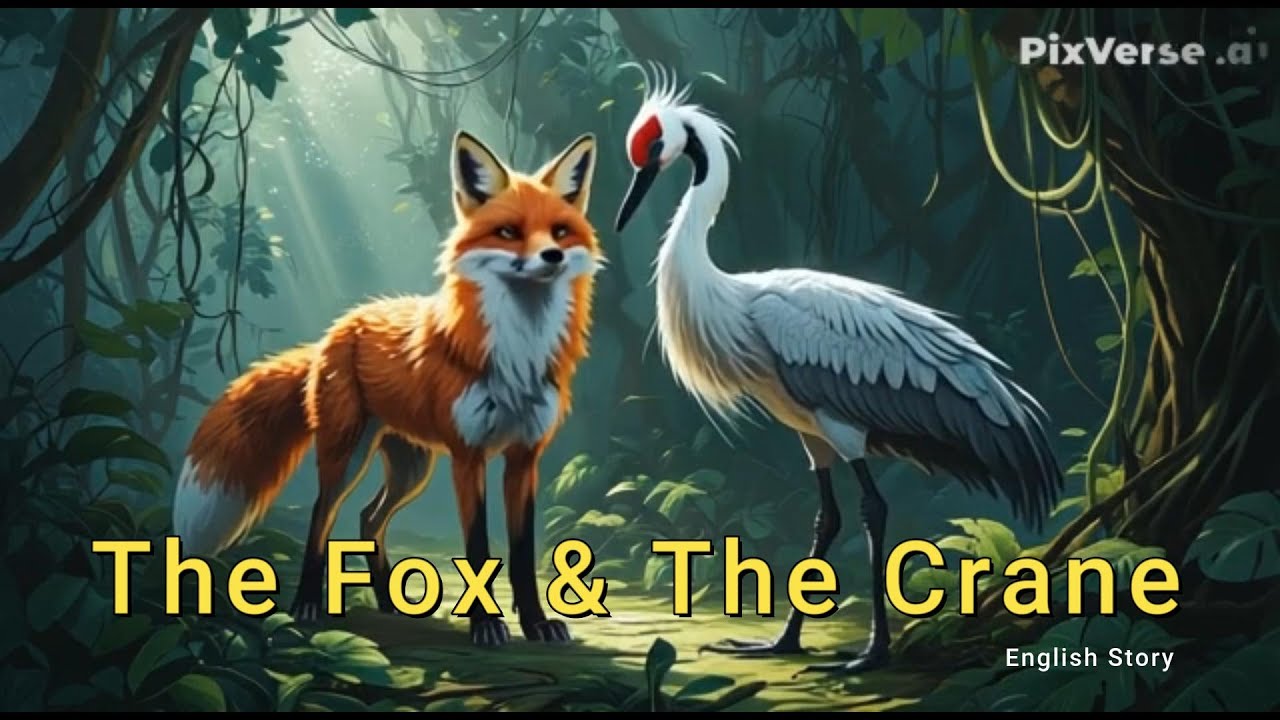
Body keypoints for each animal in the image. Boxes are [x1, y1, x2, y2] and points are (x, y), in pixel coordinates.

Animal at [172, 130, 602, 647]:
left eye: (560, 232)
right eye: (508, 232)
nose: (552, 257)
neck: (517, 350)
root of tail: (337, 328)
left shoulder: (524, 457)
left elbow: (520, 553)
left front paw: (537, 623)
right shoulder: (468, 456)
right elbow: (478, 547)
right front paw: (485, 625)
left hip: (411, 468)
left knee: (368, 518)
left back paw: (388, 602)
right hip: (347, 453)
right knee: (322, 515)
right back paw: (308, 604)